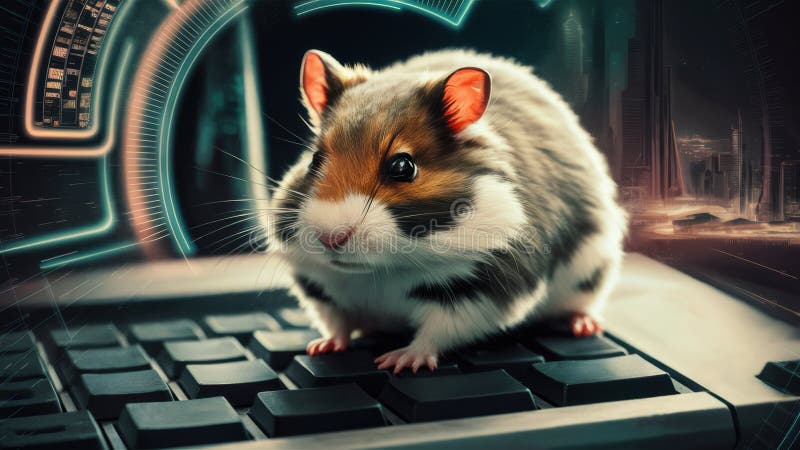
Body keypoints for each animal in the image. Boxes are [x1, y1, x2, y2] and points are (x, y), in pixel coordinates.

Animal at [269, 49, 627, 373]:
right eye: (315, 160)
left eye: (402, 167)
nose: (330, 238)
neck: (380, 271)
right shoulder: (319, 284)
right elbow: (336, 322)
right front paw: (320, 348)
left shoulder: (482, 289)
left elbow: (439, 330)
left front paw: (399, 362)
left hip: (592, 266)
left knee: (582, 304)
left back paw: (584, 326)